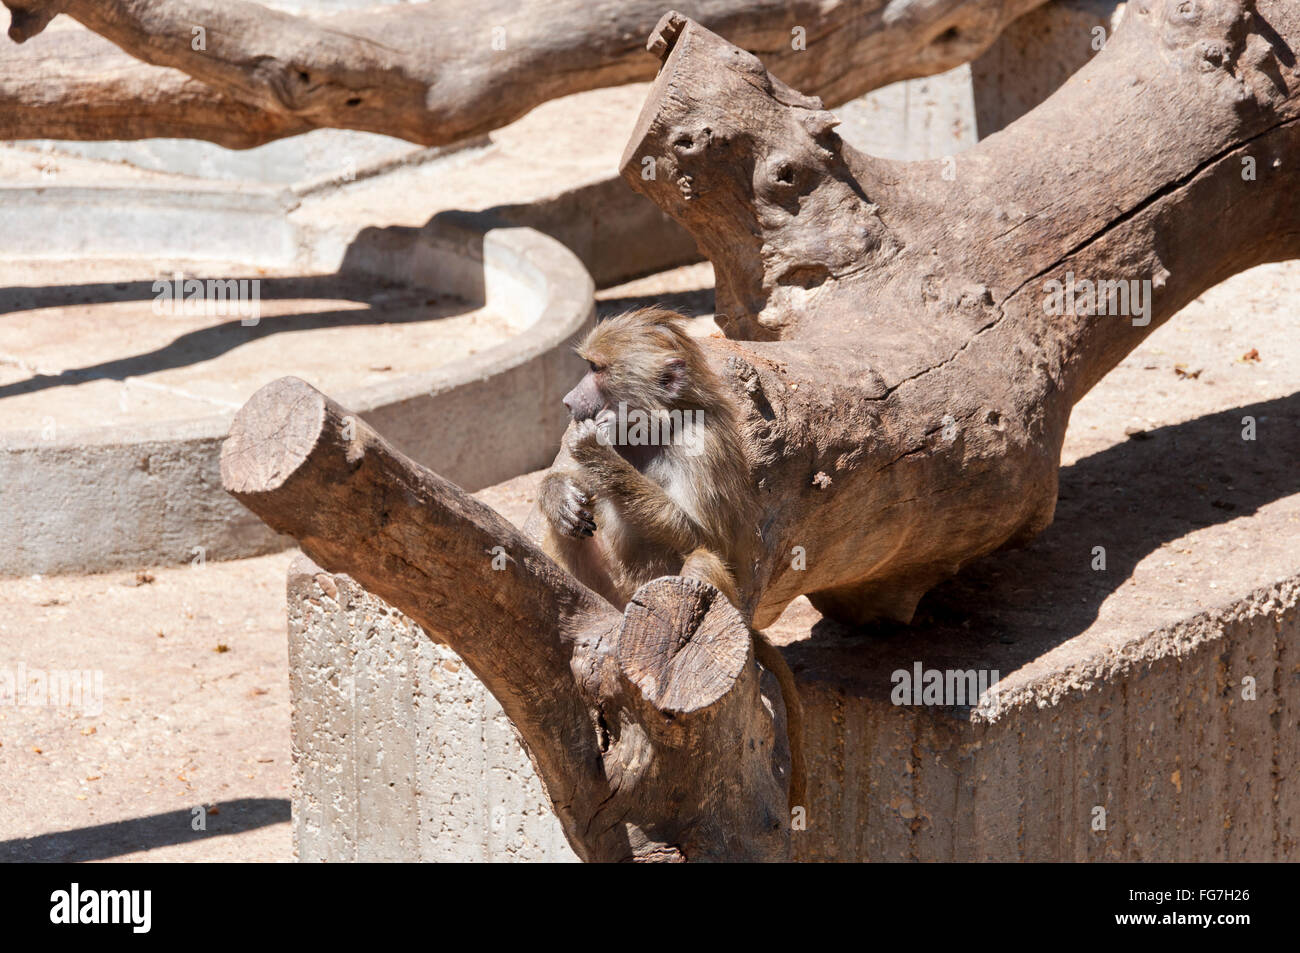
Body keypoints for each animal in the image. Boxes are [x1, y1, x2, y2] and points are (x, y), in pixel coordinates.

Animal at [535, 307, 804, 811]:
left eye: (597, 369)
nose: (567, 402)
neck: (656, 427)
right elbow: (568, 500)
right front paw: (558, 492)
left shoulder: (702, 443)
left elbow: (705, 537)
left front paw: (594, 449)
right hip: (612, 598)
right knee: (567, 534)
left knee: (700, 563)